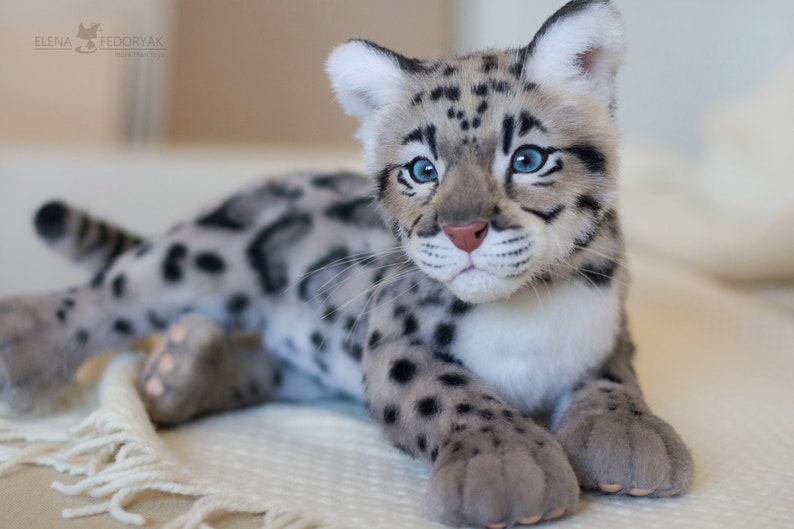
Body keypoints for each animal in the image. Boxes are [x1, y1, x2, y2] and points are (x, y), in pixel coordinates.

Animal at [0, 1, 694, 527]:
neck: (525, 308)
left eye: (526, 158)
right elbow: (449, 390)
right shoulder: (393, 340)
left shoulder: (610, 323)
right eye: (422, 169)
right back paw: (24, 345)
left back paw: (181, 370)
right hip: (211, 249)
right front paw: (503, 463)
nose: (463, 231)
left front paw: (628, 432)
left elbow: (614, 372)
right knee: (124, 285)